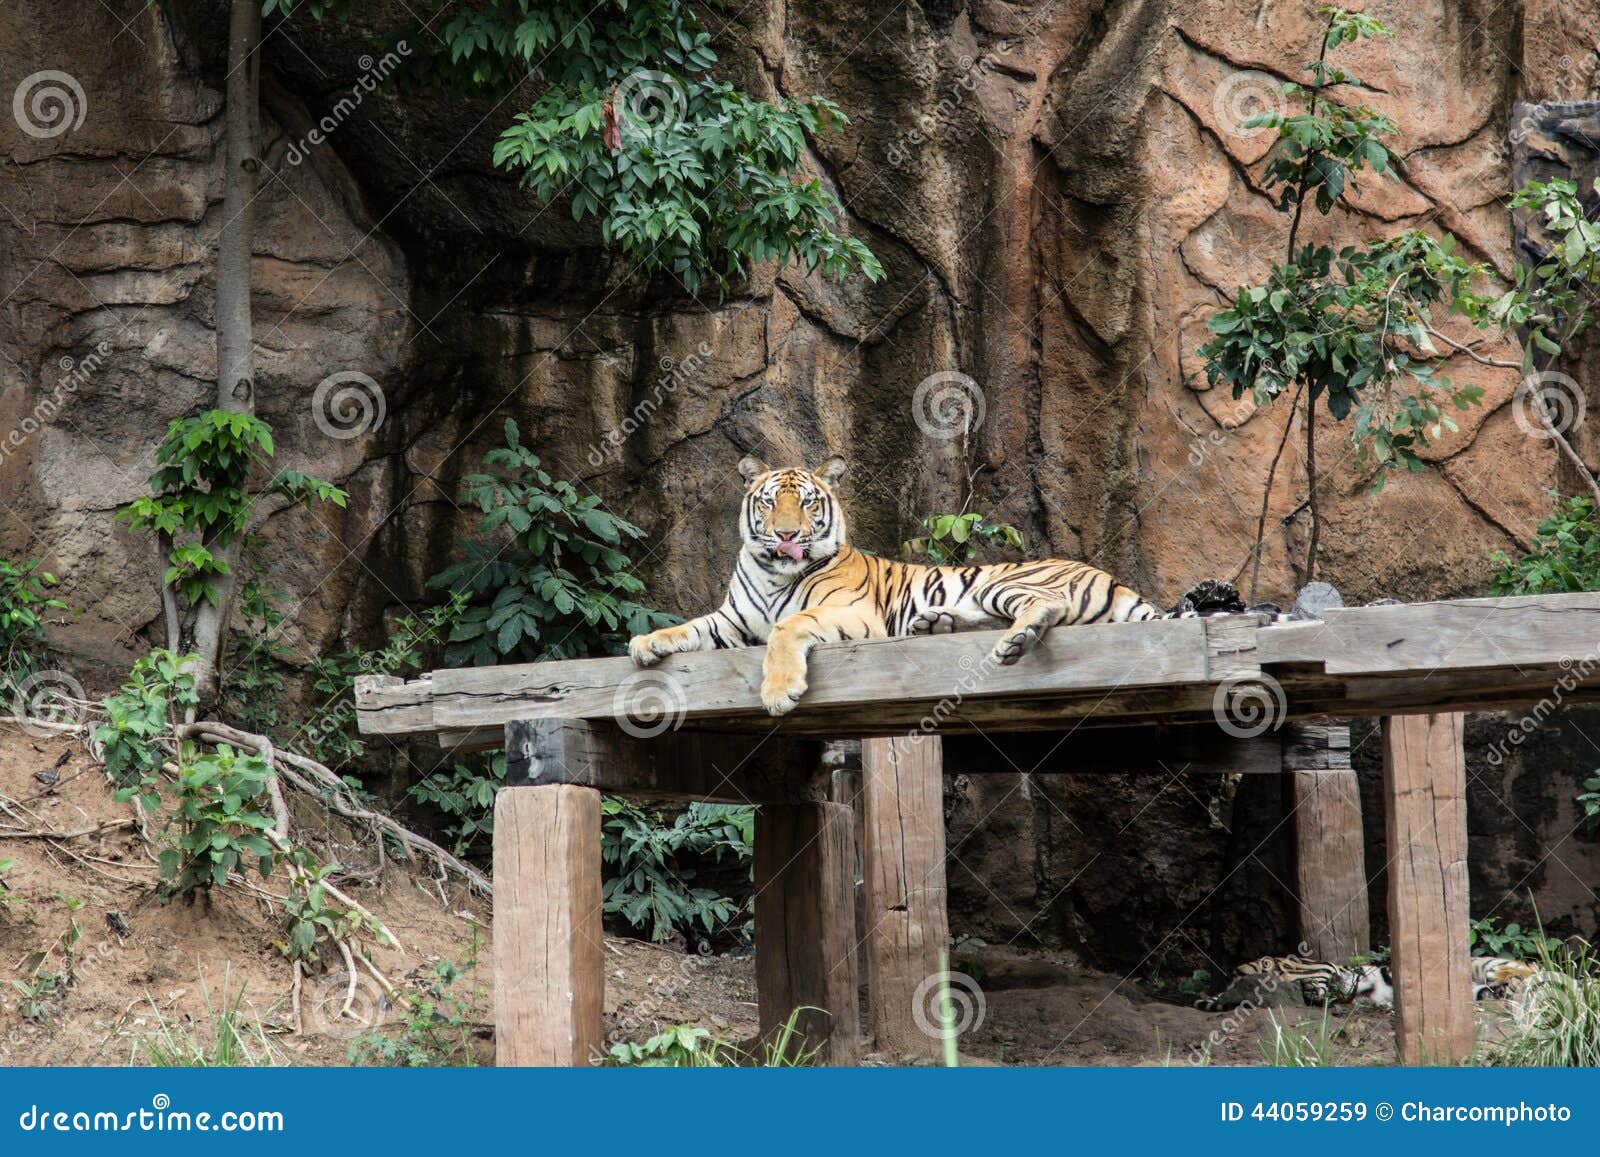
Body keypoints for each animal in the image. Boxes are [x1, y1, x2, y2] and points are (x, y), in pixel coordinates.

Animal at [626, 456, 1165, 716]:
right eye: (768, 502)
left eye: (806, 503)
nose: (786, 535)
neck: (772, 570)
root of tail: (1111, 578)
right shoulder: (732, 621)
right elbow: (689, 628)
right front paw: (645, 643)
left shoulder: (853, 614)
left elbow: (788, 626)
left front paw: (779, 693)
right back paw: (935, 623)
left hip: (1008, 582)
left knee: (1044, 607)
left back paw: (1012, 642)